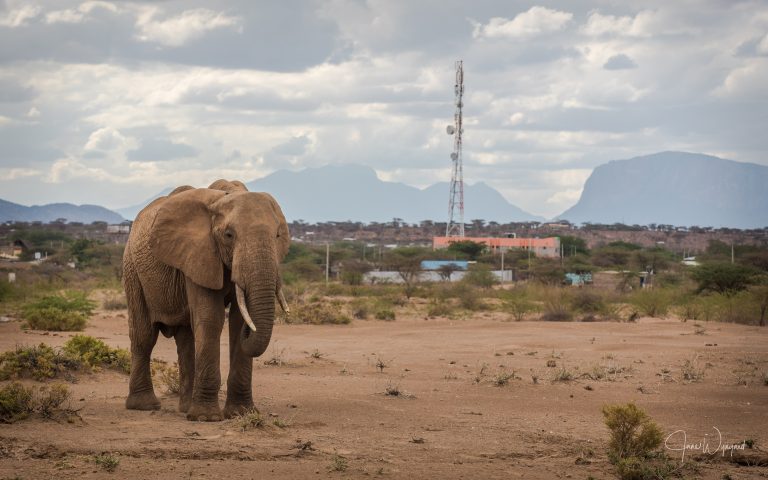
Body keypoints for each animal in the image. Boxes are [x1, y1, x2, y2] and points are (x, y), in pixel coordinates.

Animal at [122, 179, 290, 421]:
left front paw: (240, 413)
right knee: (144, 336)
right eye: (228, 235)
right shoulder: (198, 255)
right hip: (132, 270)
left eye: (277, 236)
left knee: (186, 339)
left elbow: (237, 320)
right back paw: (144, 406)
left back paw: (185, 408)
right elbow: (211, 318)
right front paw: (206, 418)